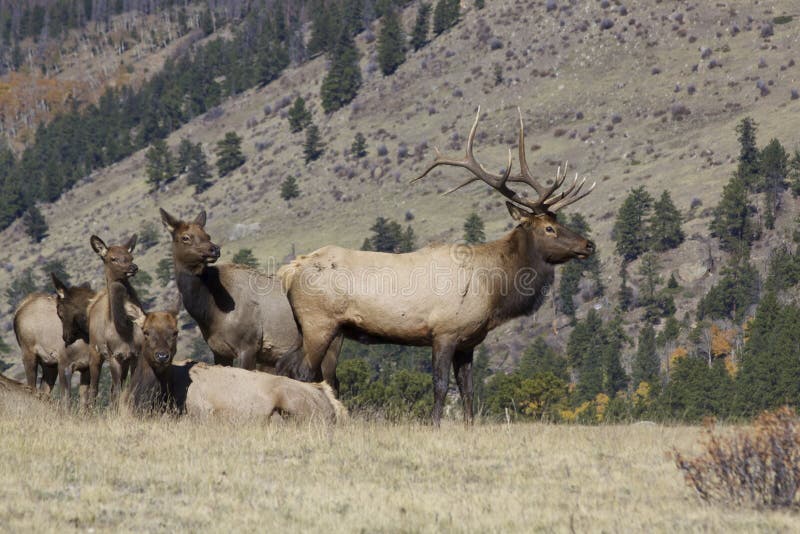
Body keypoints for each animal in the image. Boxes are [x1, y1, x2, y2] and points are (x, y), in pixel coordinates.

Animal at [13, 275, 94, 405]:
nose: (66, 337)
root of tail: (19, 309)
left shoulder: (86, 367)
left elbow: (84, 402)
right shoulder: (64, 364)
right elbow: (66, 399)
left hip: (49, 364)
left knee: (43, 391)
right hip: (28, 352)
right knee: (31, 387)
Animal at [86, 234, 146, 404]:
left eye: (131, 256)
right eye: (113, 258)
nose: (133, 267)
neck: (124, 332)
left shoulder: (136, 354)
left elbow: (132, 387)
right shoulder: (113, 355)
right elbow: (117, 391)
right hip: (94, 351)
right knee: (94, 388)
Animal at [158, 208, 343, 388]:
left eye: (207, 235)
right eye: (185, 237)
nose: (214, 249)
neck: (209, 312)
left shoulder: (249, 345)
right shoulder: (218, 350)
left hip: (330, 349)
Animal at [281, 108, 596, 425]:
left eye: (558, 221)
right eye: (548, 228)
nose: (588, 244)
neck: (493, 289)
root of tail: (291, 269)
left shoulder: (469, 341)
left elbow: (468, 389)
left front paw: (470, 426)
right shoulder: (444, 332)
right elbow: (441, 386)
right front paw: (434, 424)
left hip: (319, 329)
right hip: (318, 322)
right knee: (303, 371)